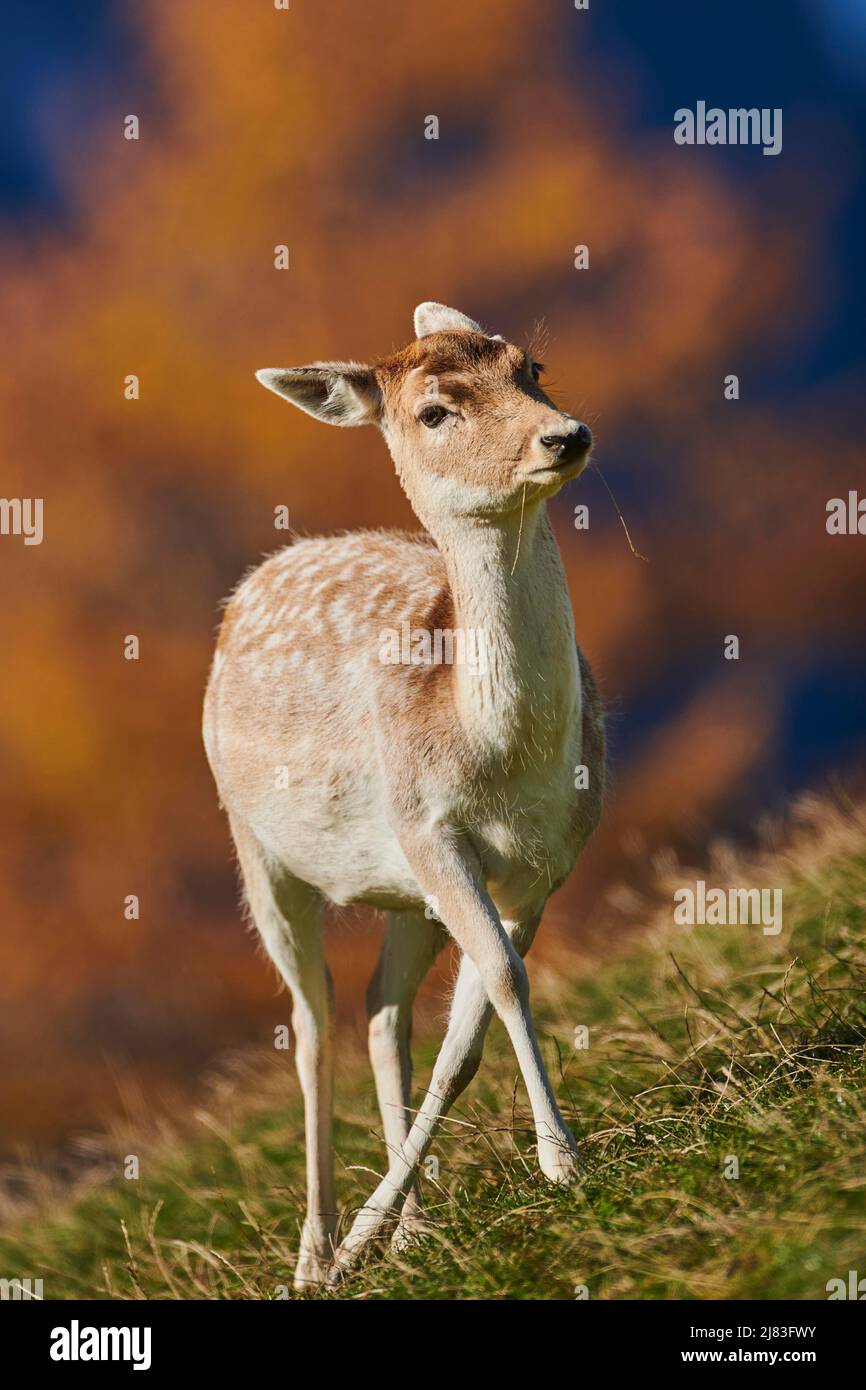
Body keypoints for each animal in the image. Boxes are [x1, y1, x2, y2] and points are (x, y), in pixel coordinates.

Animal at [202, 302, 605, 1289]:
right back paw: (313, 1254)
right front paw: (563, 1162)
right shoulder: (430, 830)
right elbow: (502, 980)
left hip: (405, 896)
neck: (500, 758)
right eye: (434, 411)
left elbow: (474, 1023)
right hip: (256, 847)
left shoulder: (543, 865)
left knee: (383, 1013)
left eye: (530, 365)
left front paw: (388, 1230)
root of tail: (256, 577)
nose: (565, 435)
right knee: (311, 1024)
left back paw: (408, 1229)